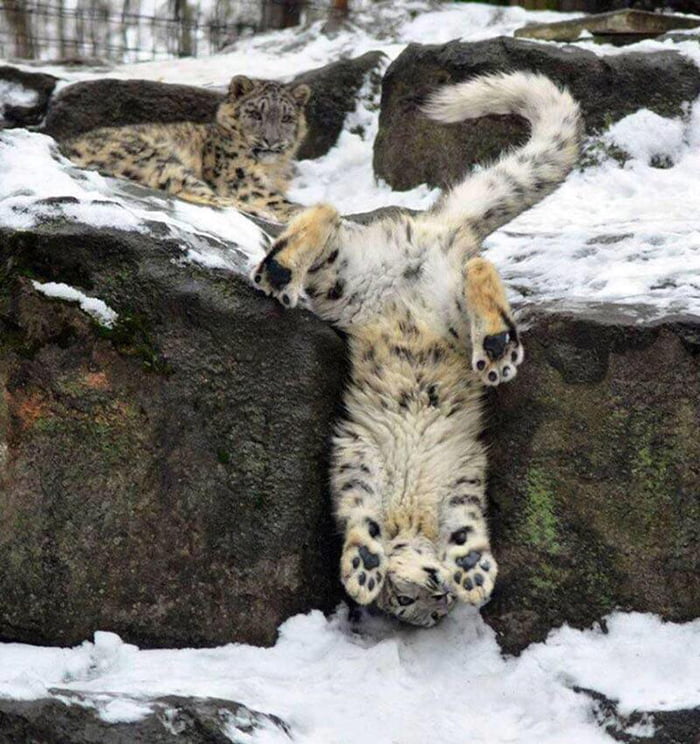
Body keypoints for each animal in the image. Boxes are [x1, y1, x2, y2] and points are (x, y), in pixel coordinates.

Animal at [60, 75, 311, 223]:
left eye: (287, 118)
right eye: (256, 114)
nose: (272, 140)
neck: (274, 169)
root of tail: (66, 146)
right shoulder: (243, 181)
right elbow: (275, 200)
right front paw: (298, 210)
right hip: (155, 157)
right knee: (202, 194)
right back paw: (263, 213)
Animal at [253, 71, 582, 627]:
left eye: (429, 609)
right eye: (409, 606)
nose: (440, 594)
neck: (414, 511)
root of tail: (429, 229)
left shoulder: (462, 479)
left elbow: (466, 521)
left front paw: (472, 568)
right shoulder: (357, 460)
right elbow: (360, 510)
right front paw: (365, 565)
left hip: (406, 295)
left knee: (464, 265)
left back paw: (496, 346)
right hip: (350, 278)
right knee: (336, 218)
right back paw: (281, 267)